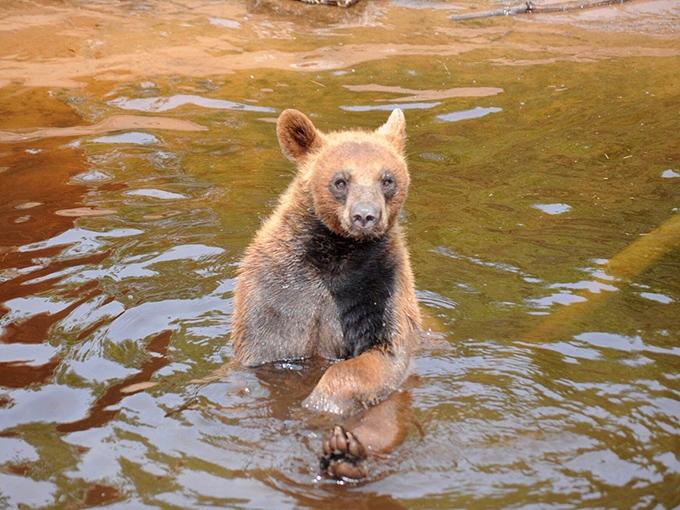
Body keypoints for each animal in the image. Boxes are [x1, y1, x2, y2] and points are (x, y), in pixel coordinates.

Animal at [231, 108, 421, 479]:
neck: (336, 255)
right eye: (340, 180)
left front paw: (319, 401)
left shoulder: (379, 288)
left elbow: (382, 353)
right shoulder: (279, 292)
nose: (365, 216)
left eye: (387, 178)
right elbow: (269, 345)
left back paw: (346, 453)